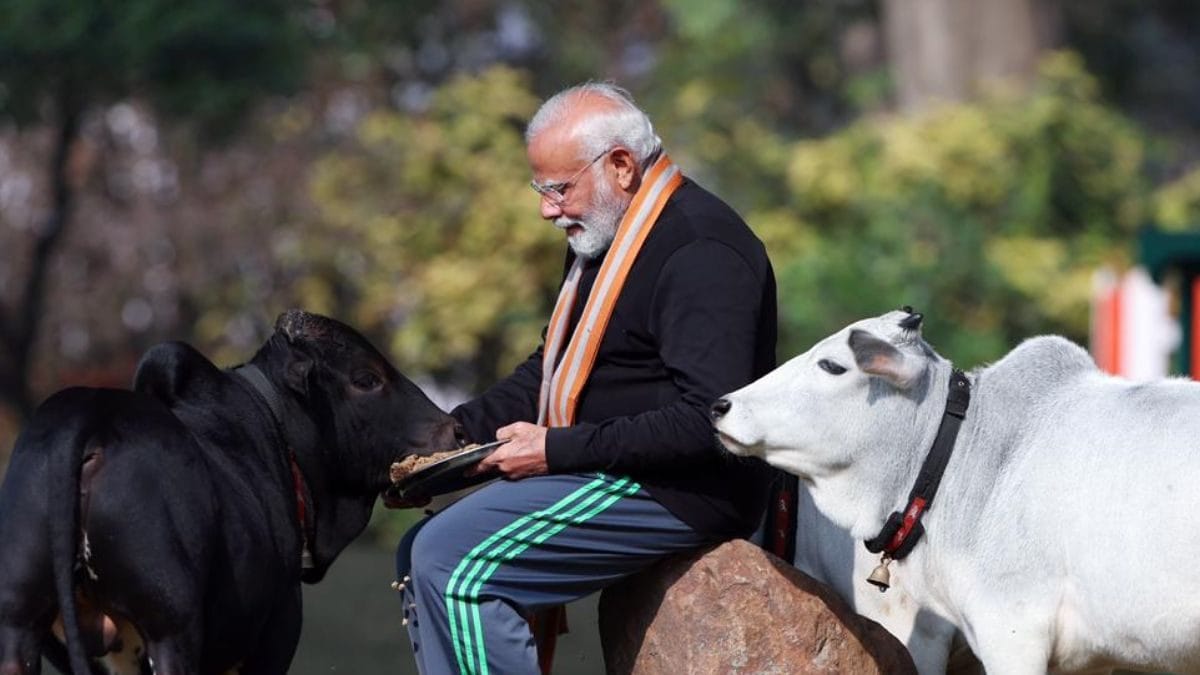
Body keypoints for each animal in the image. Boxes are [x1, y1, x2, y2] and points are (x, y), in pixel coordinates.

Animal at [0, 310, 461, 675]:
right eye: (366, 378)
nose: (454, 429)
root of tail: (91, 415)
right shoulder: (275, 636)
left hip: (19, 627)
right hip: (171, 629)